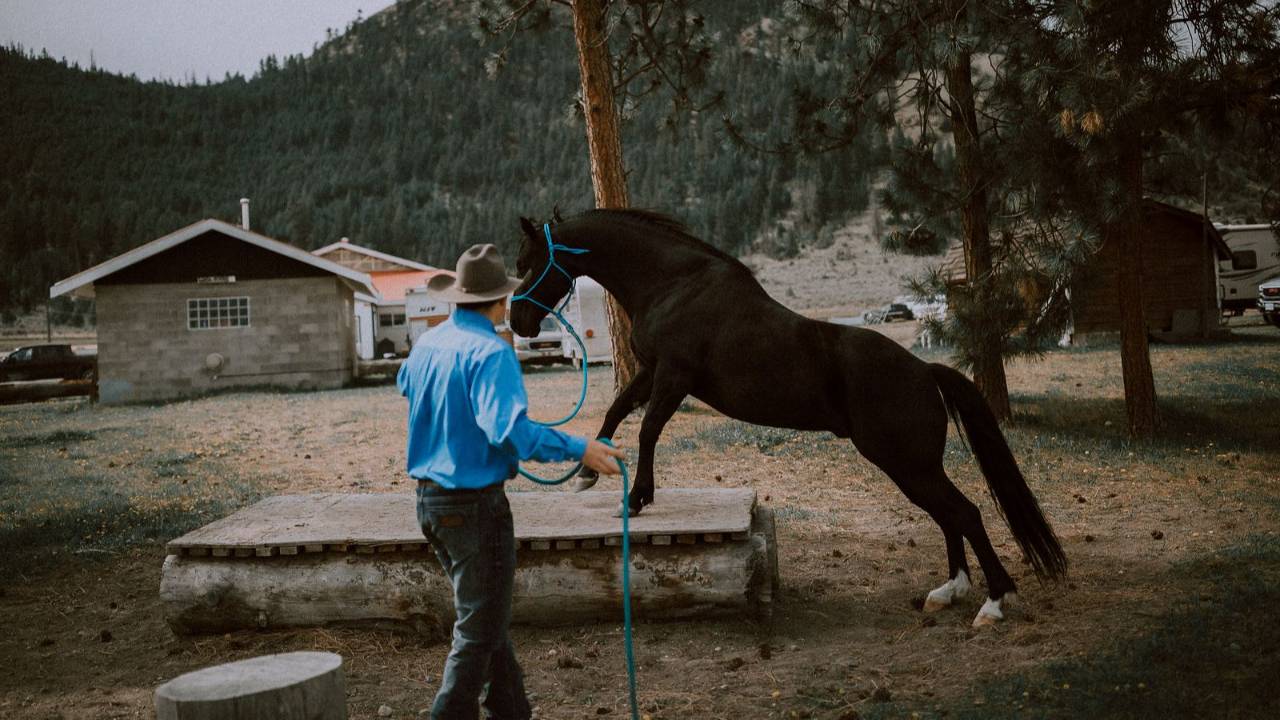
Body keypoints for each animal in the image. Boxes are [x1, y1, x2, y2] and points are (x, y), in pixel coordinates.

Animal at [508, 208, 1066, 627]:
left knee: (965, 513)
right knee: (949, 515)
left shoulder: (674, 376)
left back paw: (993, 604)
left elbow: (647, 428)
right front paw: (587, 472)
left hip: (907, 463)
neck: (674, 284)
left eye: (529, 262)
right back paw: (948, 592)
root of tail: (925, 370)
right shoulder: (652, 371)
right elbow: (618, 408)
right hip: (912, 468)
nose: (517, 320)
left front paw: (637, 497)